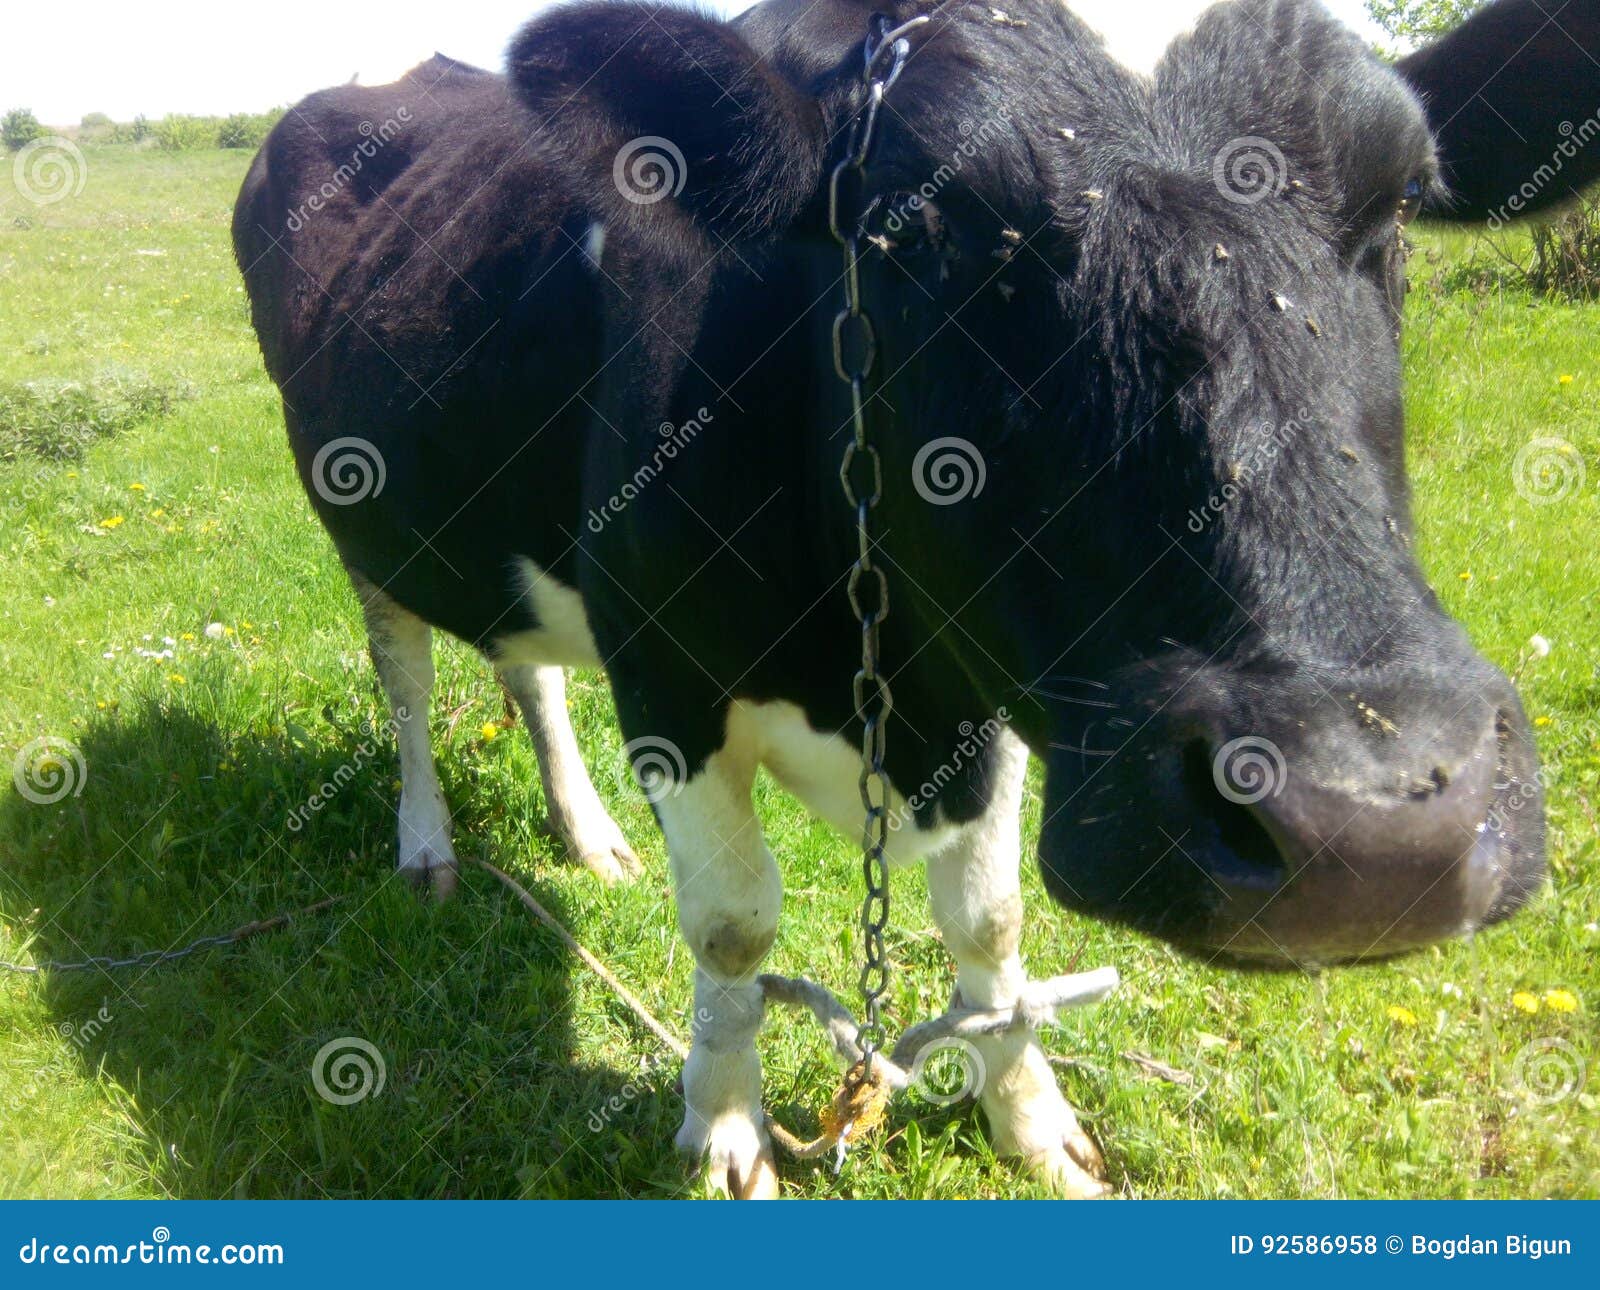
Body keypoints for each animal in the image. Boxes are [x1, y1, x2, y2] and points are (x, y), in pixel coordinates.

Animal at [234, 0, 1588, 1197]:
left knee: (524, 663)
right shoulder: (668, 670)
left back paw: (588, 834)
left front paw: (1030, 1121)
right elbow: (734, 928)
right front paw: (725, 1133)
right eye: (921, 228)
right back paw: (426, 847)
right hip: (354, 509)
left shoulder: (988, 682)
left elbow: (988, 924)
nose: (1376, 821)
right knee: (409, 679)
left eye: (1402, 196)